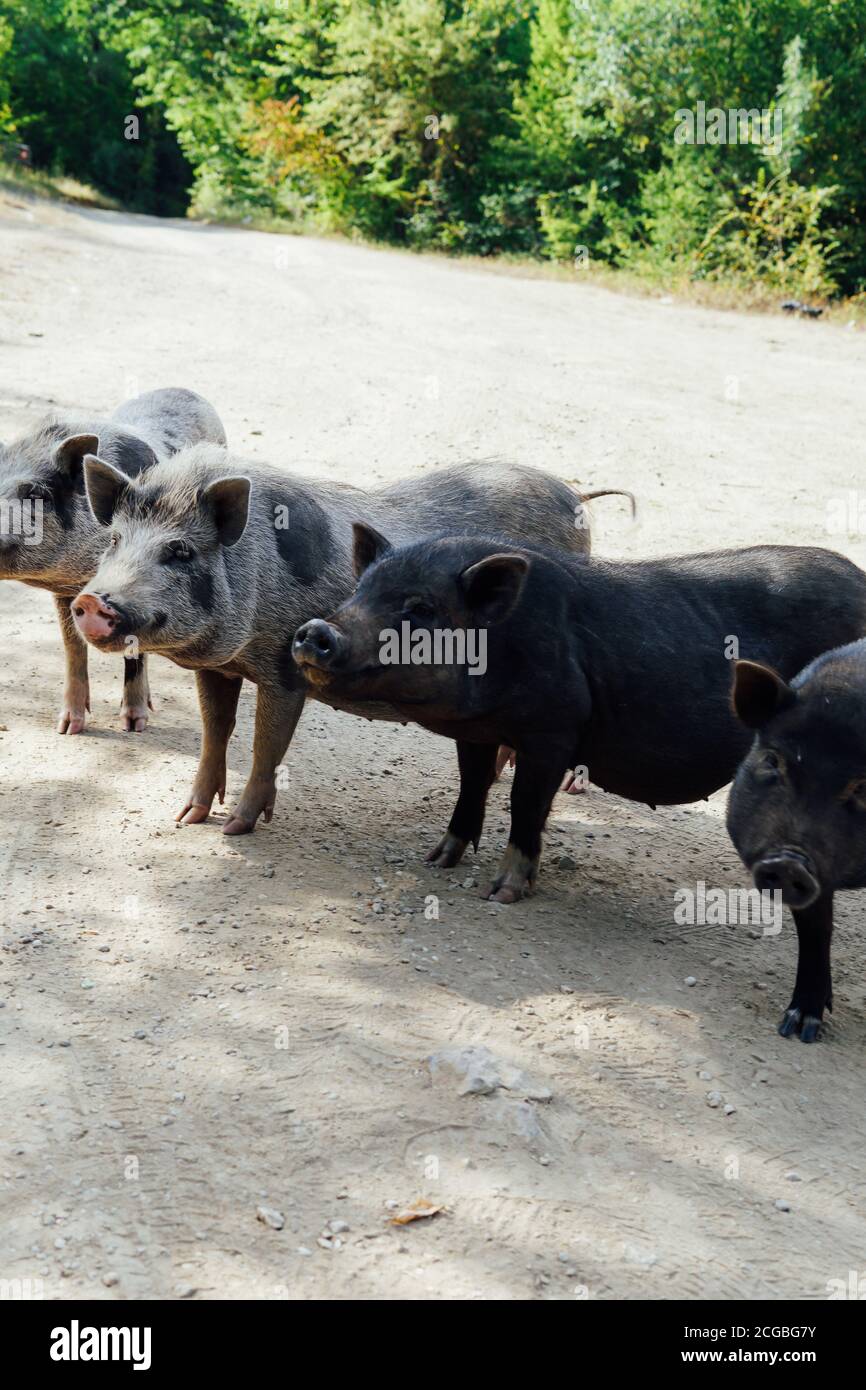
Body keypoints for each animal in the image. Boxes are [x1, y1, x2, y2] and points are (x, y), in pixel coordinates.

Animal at [0, 388, 226, 732]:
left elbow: (135, 651)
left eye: (37, 494)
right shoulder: (67, 589)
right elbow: (73, 648)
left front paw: (133, 725)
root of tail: (185, 391)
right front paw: (68, 728)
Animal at [71, 442, 628, 832]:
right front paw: (186, 817)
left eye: (181, 551)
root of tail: (574, 495)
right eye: (115, 540)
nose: (92, 602)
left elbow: (265, 744)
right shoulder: (219, 666)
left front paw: (236, 829)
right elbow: (216, 731)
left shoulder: (285, 669)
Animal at [292, 531, 866, 908]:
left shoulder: (555, 729)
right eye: (360, 589)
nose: (315, 631)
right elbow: (471, 784)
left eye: (419, 608)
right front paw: (436, 860)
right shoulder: (475, 730)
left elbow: (525, 803)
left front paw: (501, 894)